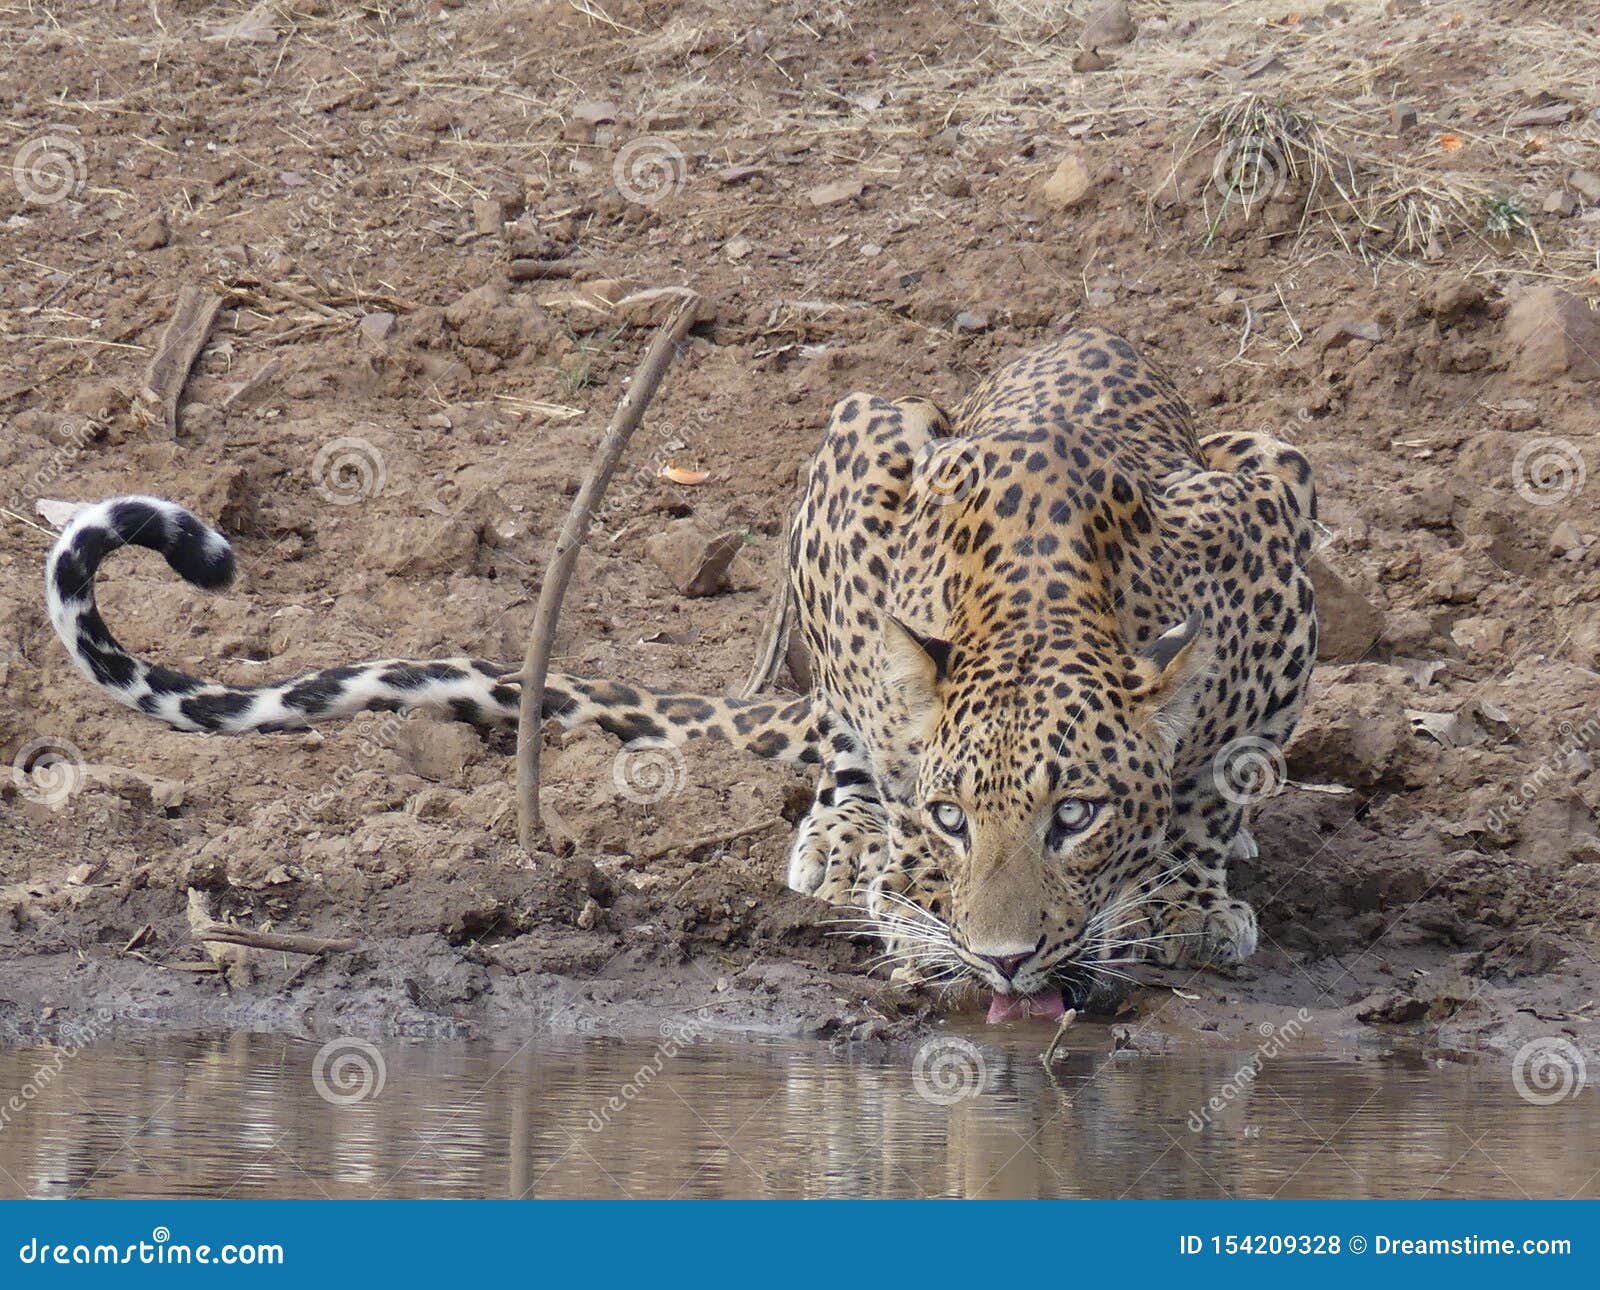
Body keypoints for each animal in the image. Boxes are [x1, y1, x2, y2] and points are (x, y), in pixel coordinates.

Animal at [43, 327, 1316, 1021]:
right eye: (958, 818)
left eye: (1076, 815)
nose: (1004, 961)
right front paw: (913, 906)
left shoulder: (1271, 527)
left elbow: (1223, 777)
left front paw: (1189, 897)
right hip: (870, 420)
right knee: (841, 716)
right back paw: (843, 830)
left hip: (1254, 445)